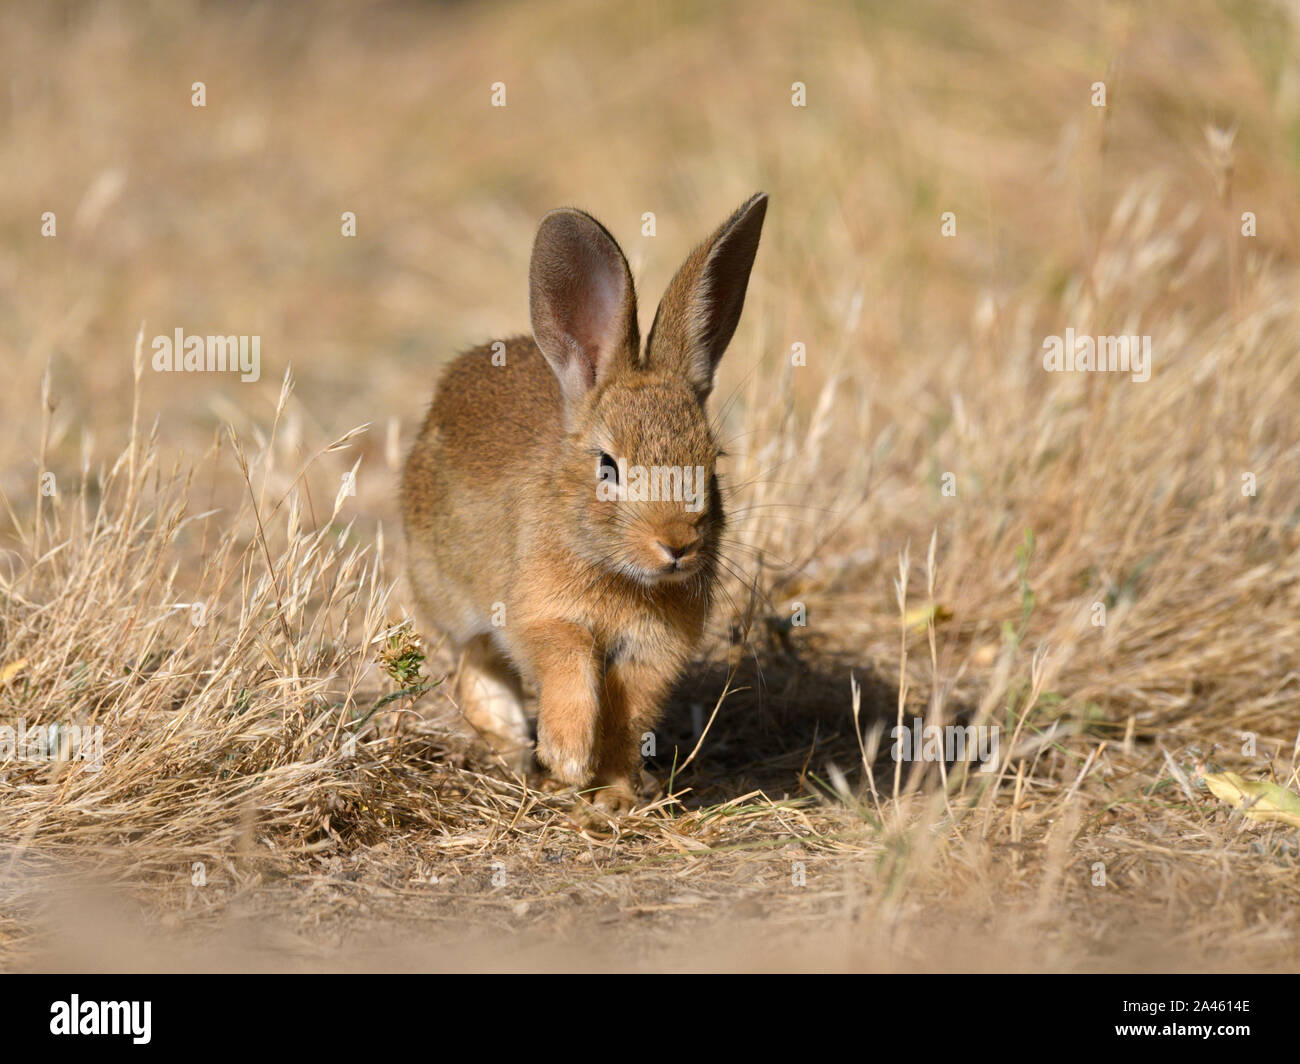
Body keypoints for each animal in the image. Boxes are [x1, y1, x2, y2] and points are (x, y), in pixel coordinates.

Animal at [400, 193, 768, 811]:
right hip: (446, 590)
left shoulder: (651, 654)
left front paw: (612, 796)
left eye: (711, 461)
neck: (620, 574)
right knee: (478, 664)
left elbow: (628, 716)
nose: (677, 546)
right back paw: (512, 750)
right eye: (608, 466)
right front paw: (568, 758)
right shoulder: (541, 617)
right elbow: (567, 661)